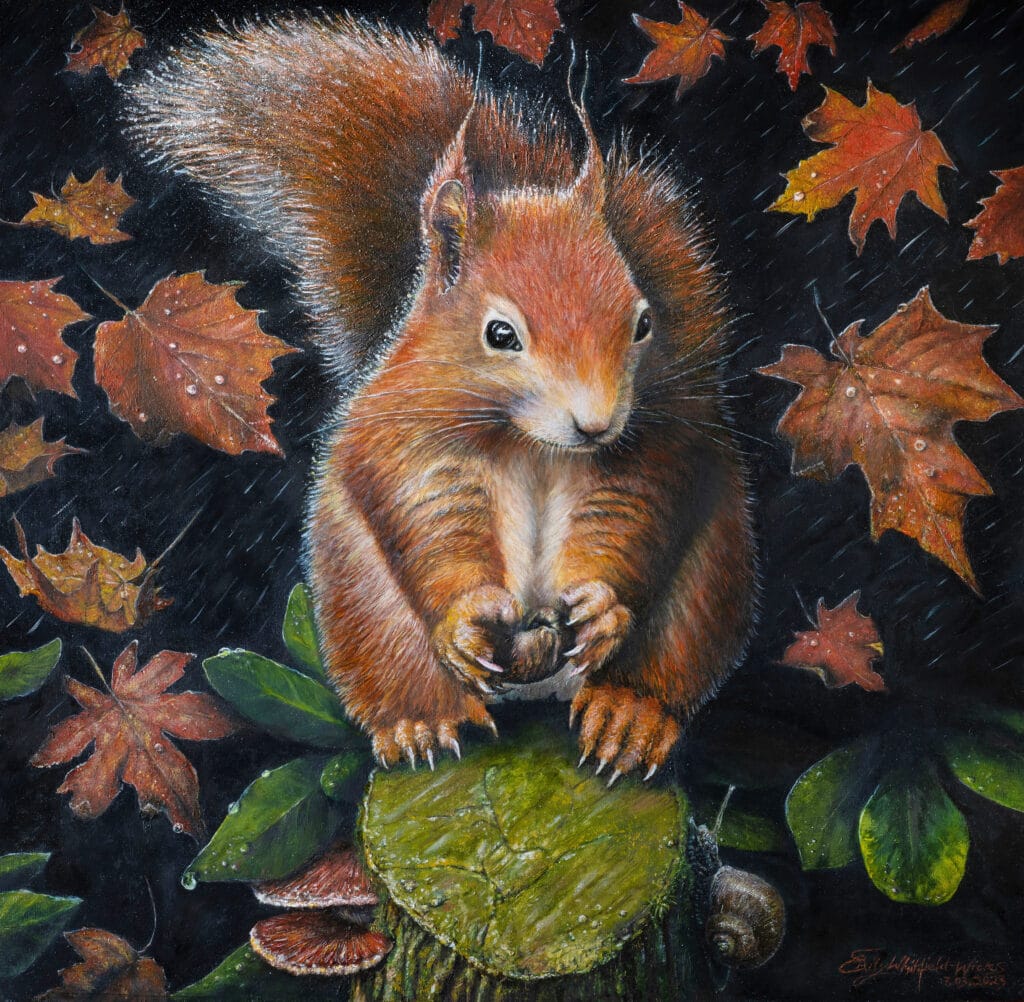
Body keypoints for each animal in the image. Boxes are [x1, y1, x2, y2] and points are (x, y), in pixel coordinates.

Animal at [124, 13, 756, 783]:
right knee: (397, 660)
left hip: (711, 579)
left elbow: (632, 509)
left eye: (642, 323)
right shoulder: (403, 431)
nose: (596, 424)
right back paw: (422, 722)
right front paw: (464, 614)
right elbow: (426, 511)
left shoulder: (655, 439)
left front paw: (602, 607)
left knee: (672, 654)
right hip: (363, 603)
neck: (532, 443)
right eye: (499, 334)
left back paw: (629, 715)